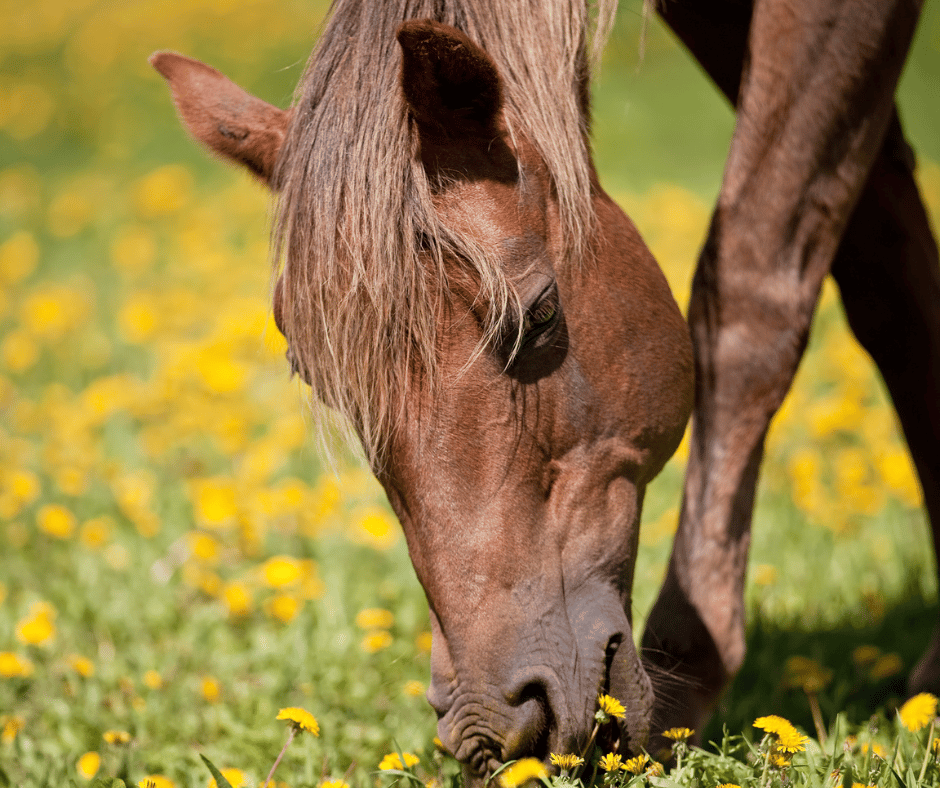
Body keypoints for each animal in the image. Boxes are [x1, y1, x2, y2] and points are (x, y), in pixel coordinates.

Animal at [151, 0, 940, 782]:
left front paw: (690, 671)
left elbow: (751, 284)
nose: (488, 730)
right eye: (315, 371)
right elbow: (887, 272)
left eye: (539, 316)